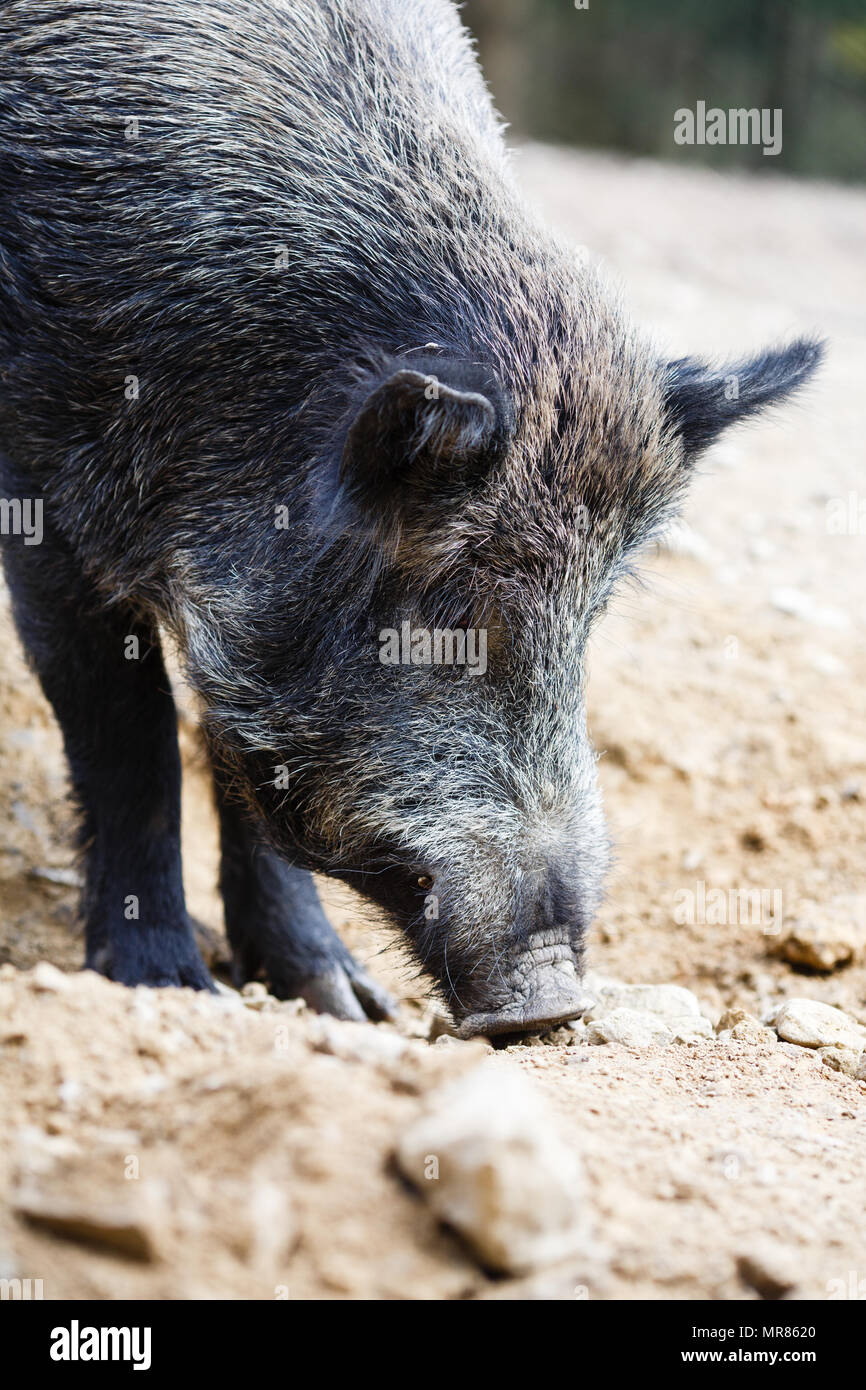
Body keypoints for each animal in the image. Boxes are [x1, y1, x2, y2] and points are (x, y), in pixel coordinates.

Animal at [0, 0, 821, 1035]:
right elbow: (127, 735)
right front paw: (168, 989)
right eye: (445, 602)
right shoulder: (41, 490)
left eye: (589, 614)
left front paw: (346, 1007)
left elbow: (237, 756)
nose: (551, 1004)